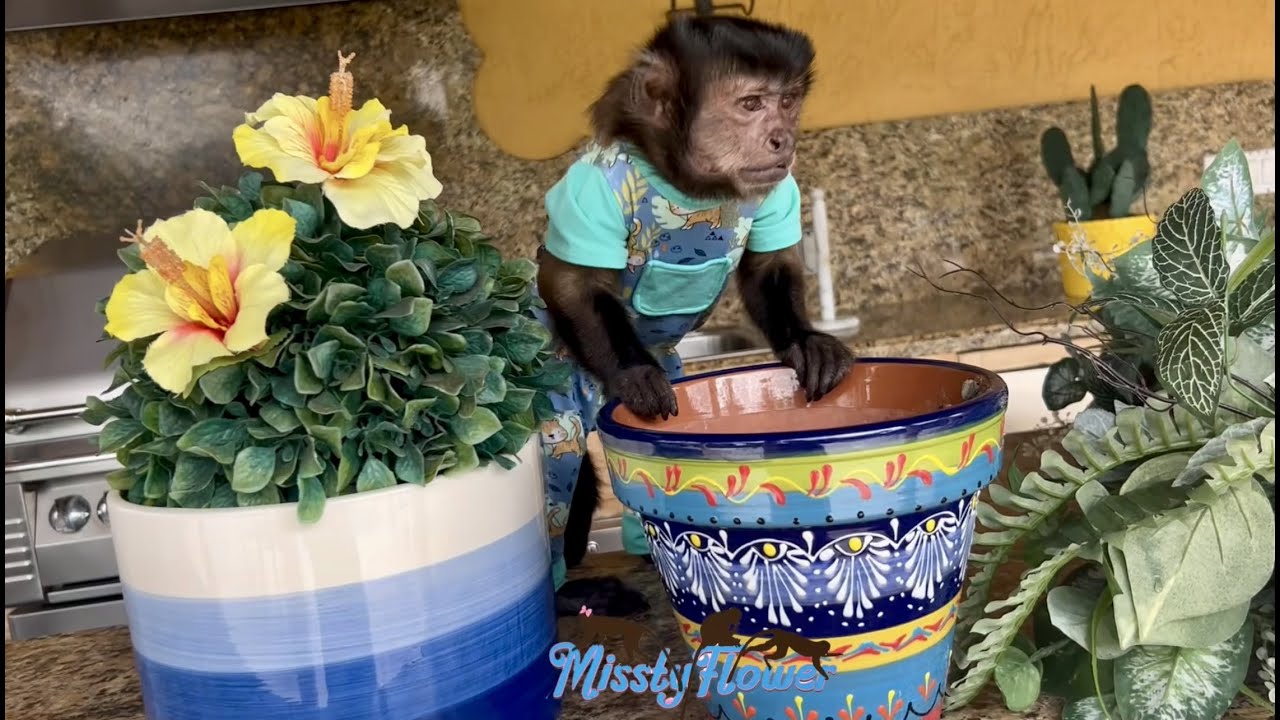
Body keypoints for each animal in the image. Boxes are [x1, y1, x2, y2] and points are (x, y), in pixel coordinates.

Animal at [531, 15, 855, 616]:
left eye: (788, 101)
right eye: (750, 104)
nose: (783, 137)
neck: (690, 185)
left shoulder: (779, 184)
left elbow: (769, 267)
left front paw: (807, 343)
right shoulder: (592, 191)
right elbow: (573, 283)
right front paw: (634, 374)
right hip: (548, 380)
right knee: (555, 453)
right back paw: (566, 592)